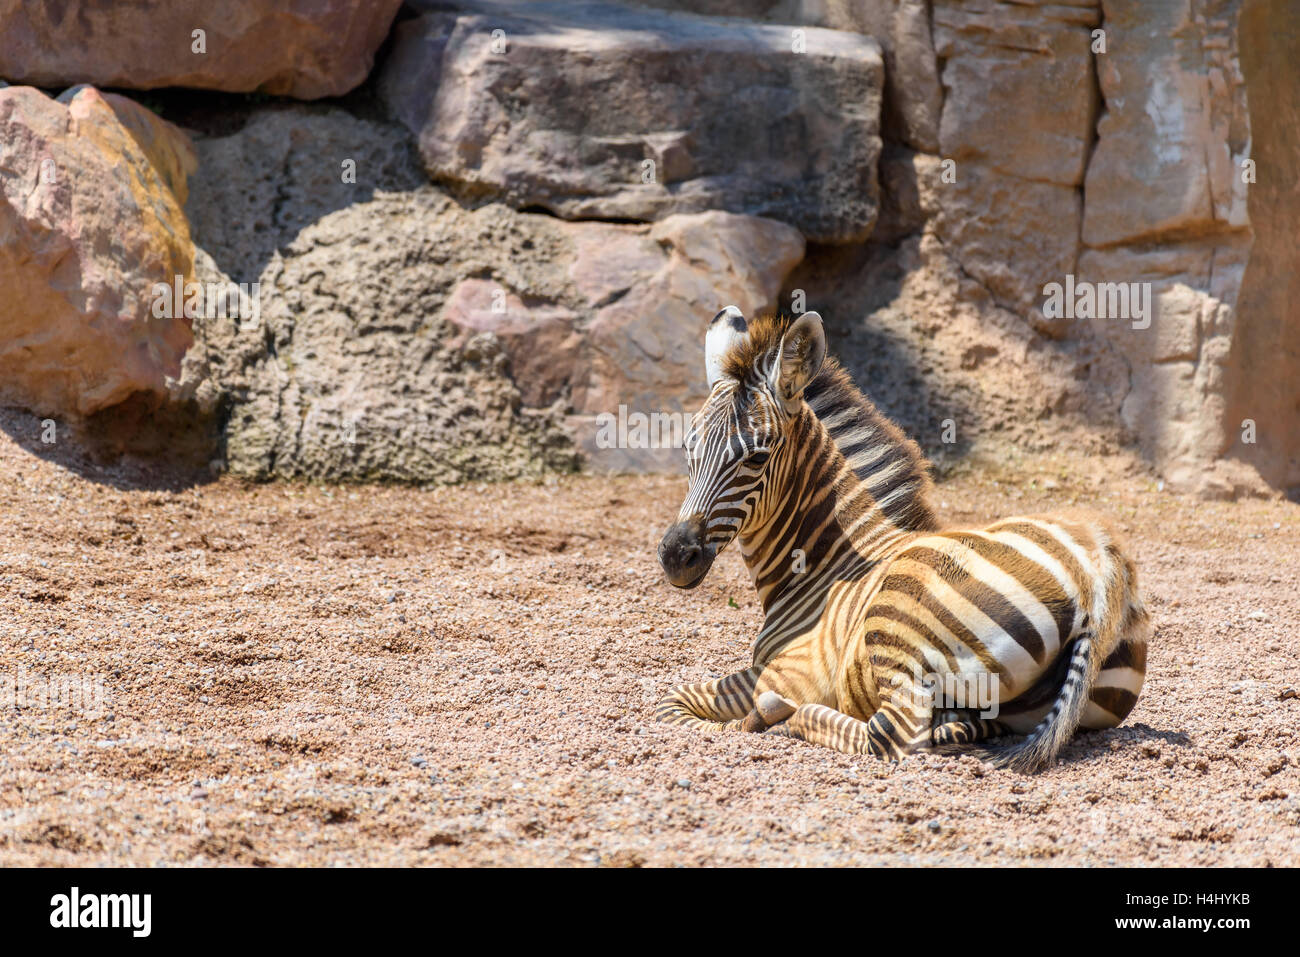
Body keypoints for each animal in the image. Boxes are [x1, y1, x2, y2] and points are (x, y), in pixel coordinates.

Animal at [655, 306, 1151, 772]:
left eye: (757, 458)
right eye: (687, 448)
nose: (676, 555)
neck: (823, 568)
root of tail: (1099, 574)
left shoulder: (782, 671)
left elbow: (671, 706)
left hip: (896, 625)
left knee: (892, 734)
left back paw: (782, 719)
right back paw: (958, 725)